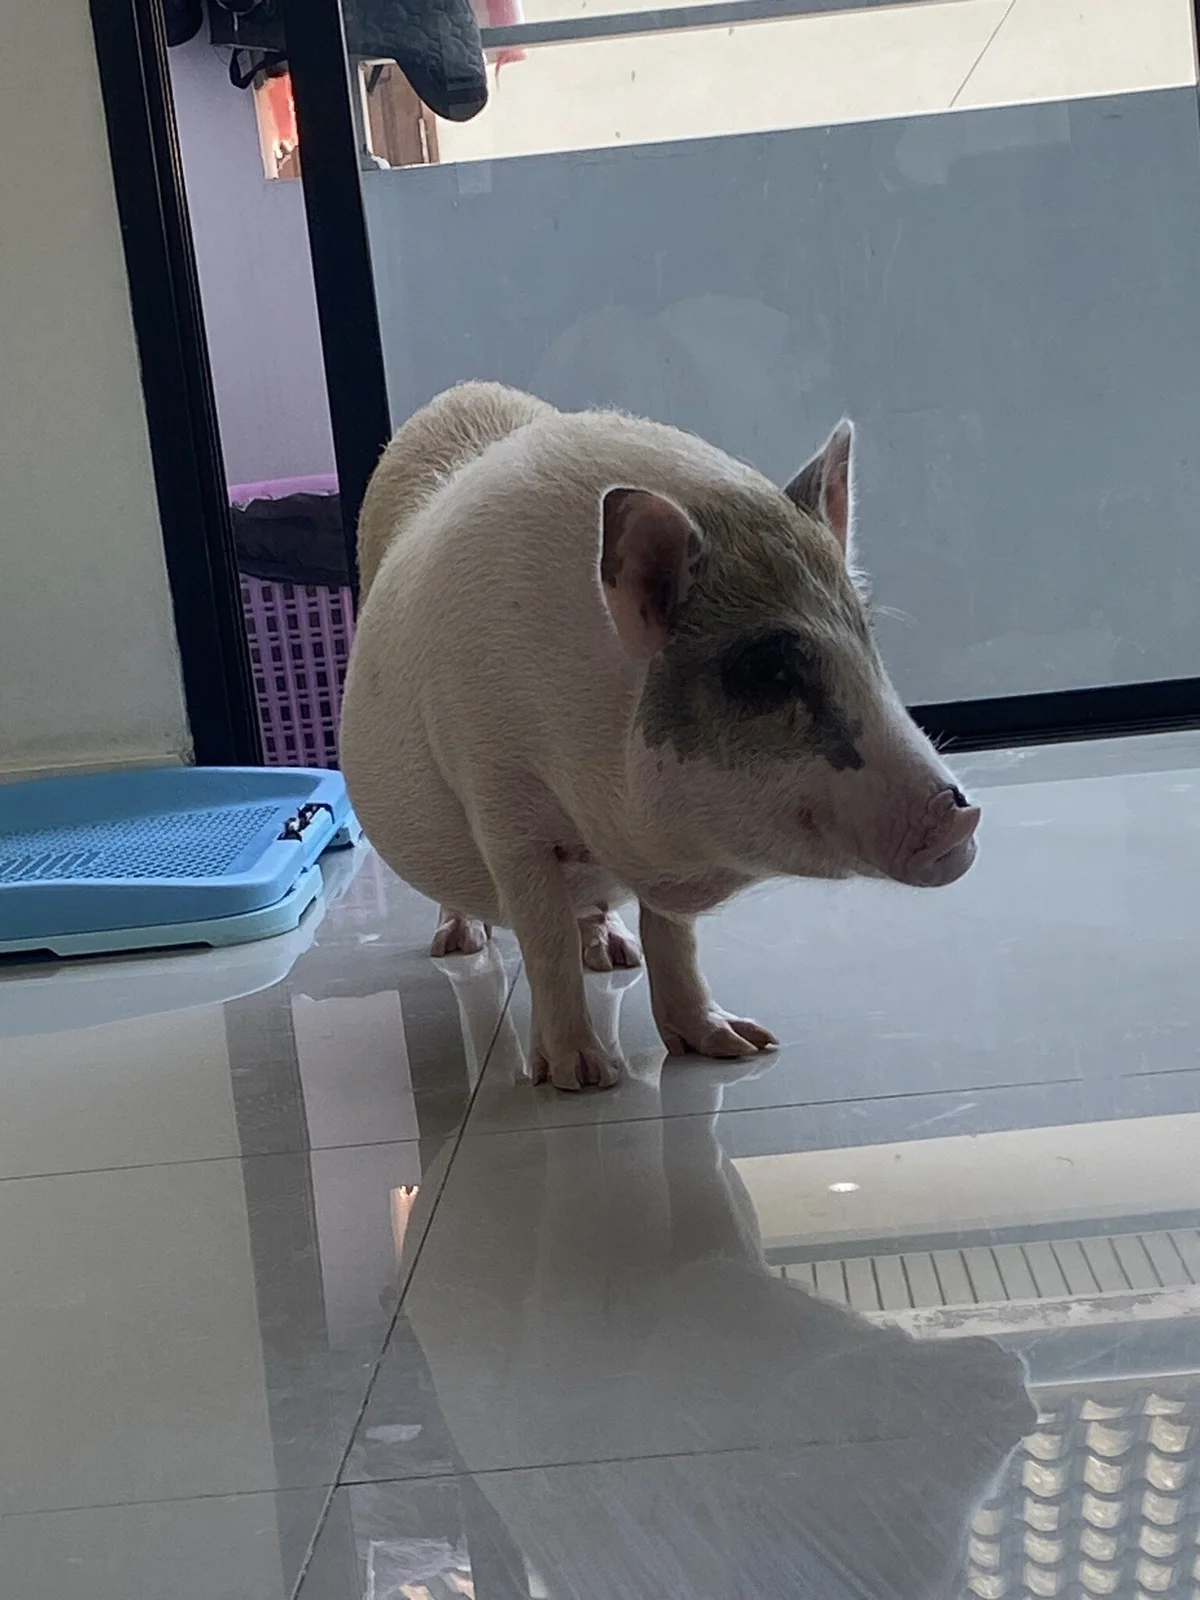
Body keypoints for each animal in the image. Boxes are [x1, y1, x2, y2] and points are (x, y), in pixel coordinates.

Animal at [340, 382, 980, 1091]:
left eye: (867, 637)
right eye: (764, 670)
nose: (962, 813)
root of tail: (461, 391)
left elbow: (675, 936)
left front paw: (741, 1046)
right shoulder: (500, 803)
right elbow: (543, 936)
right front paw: (582, 1078)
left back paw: (615, 955)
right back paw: (458, 944)